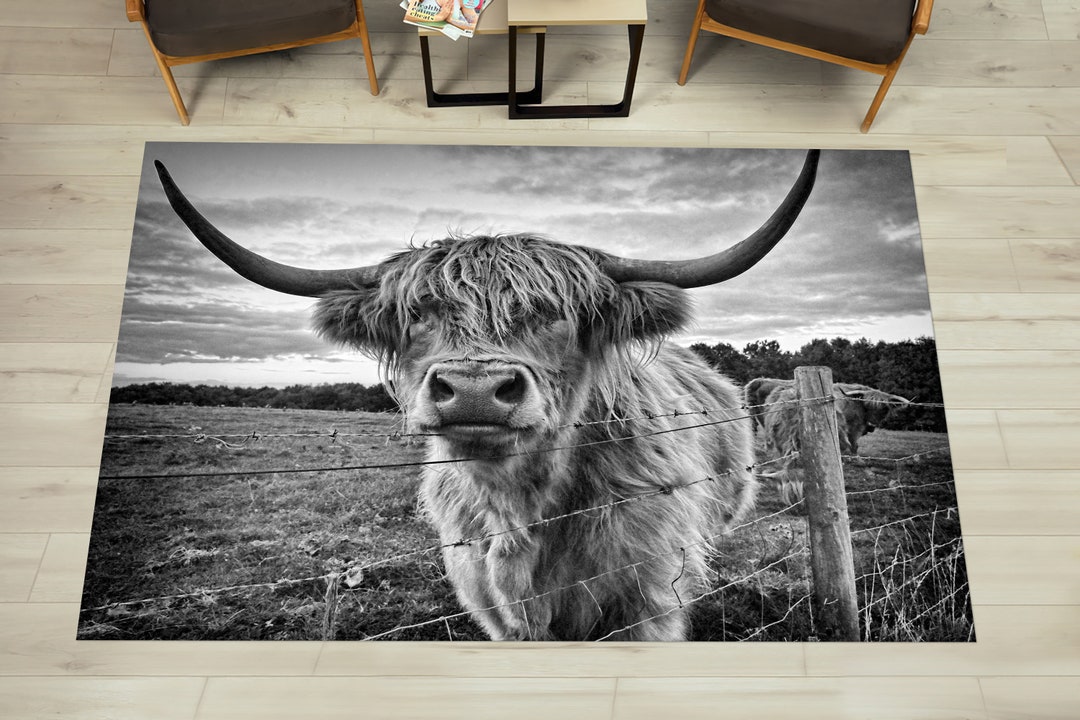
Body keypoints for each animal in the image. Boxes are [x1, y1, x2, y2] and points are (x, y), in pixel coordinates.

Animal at [152, 150, 820, 641]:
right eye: (417, 314)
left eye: (555, 315)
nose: (474, 390)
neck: (519, 511)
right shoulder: (493, 606)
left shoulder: (650, 598)